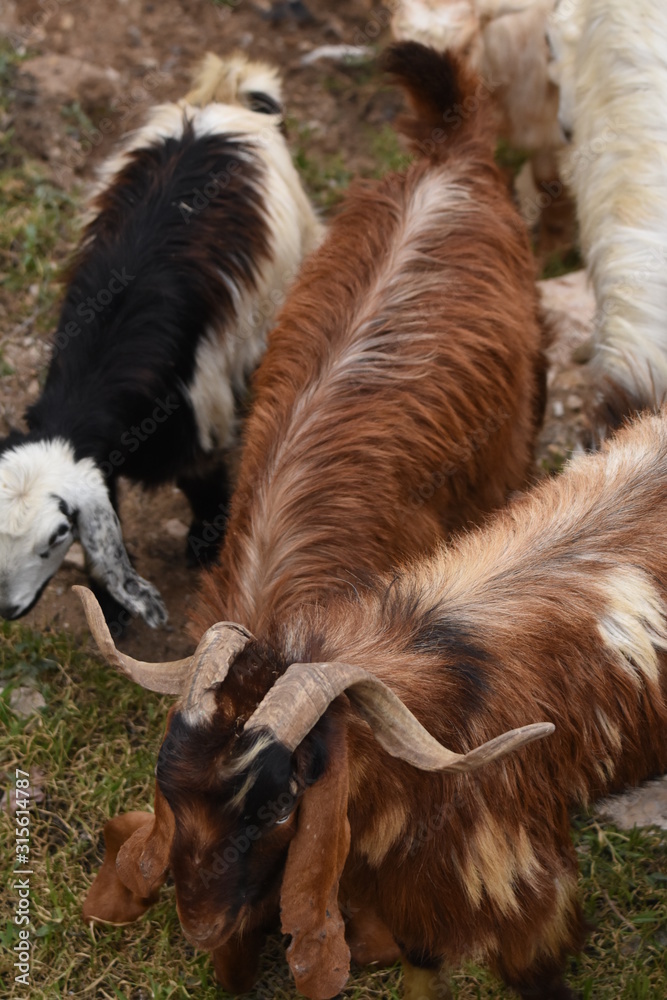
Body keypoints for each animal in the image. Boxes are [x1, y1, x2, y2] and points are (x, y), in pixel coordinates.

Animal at [0, 52, 322, 627]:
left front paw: (206, 546)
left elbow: (203, 480)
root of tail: (221, 104)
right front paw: (110, 606)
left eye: (56, 535)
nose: (8, 609)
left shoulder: (198, 415)